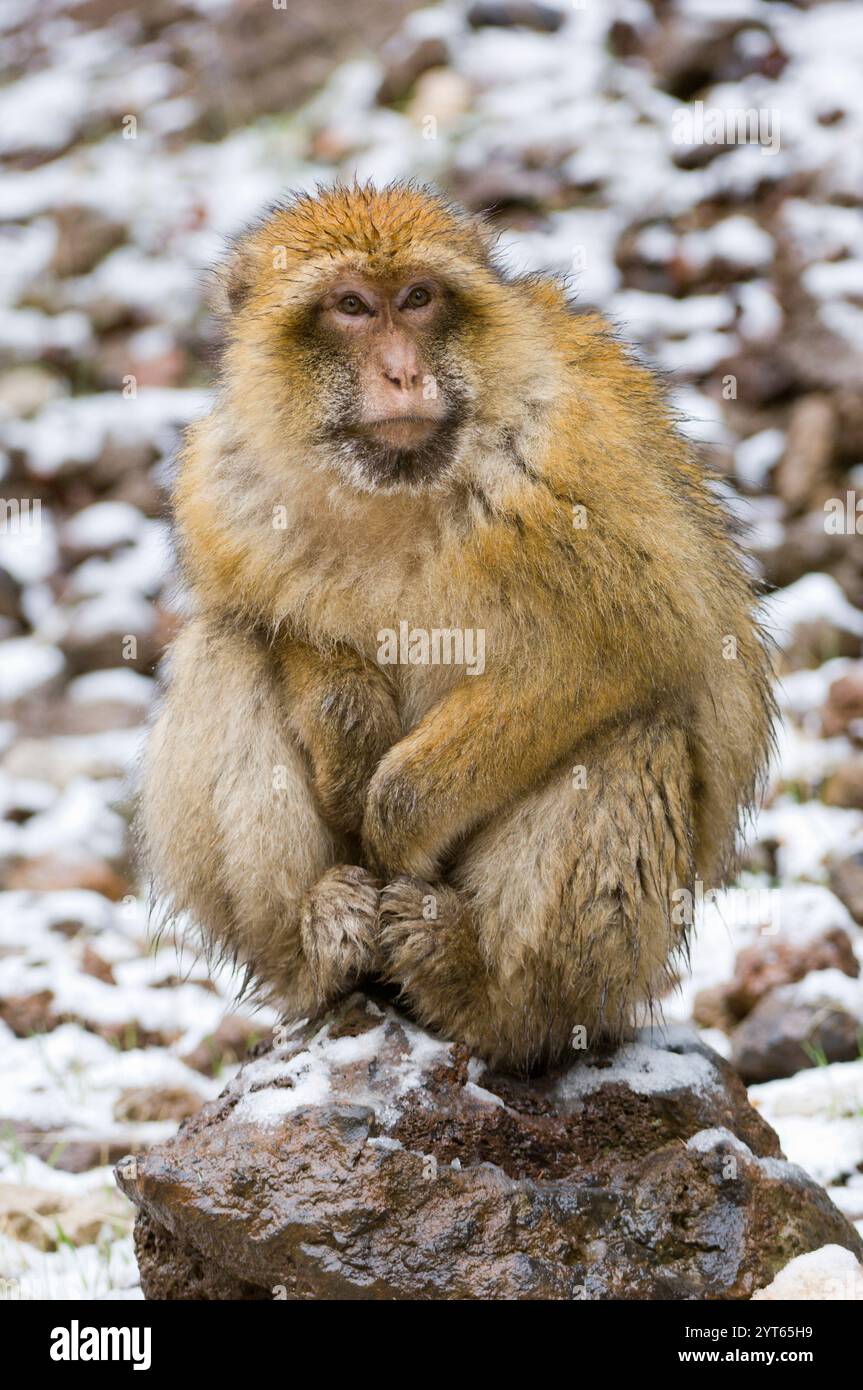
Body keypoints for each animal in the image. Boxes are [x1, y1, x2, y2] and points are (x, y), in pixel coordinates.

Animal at [138, 182, 775, 1073]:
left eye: (417, 298)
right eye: (350, 307)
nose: (403, 371)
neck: (396, 490)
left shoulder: (577, 465)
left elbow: (632, 651)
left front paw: (396, 814)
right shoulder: (219, 486)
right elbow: (258, 618)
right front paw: (346, 730)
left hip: (625, 965)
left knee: (632, 733)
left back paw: (489, 993)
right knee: (226, 651)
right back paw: (314, 949)